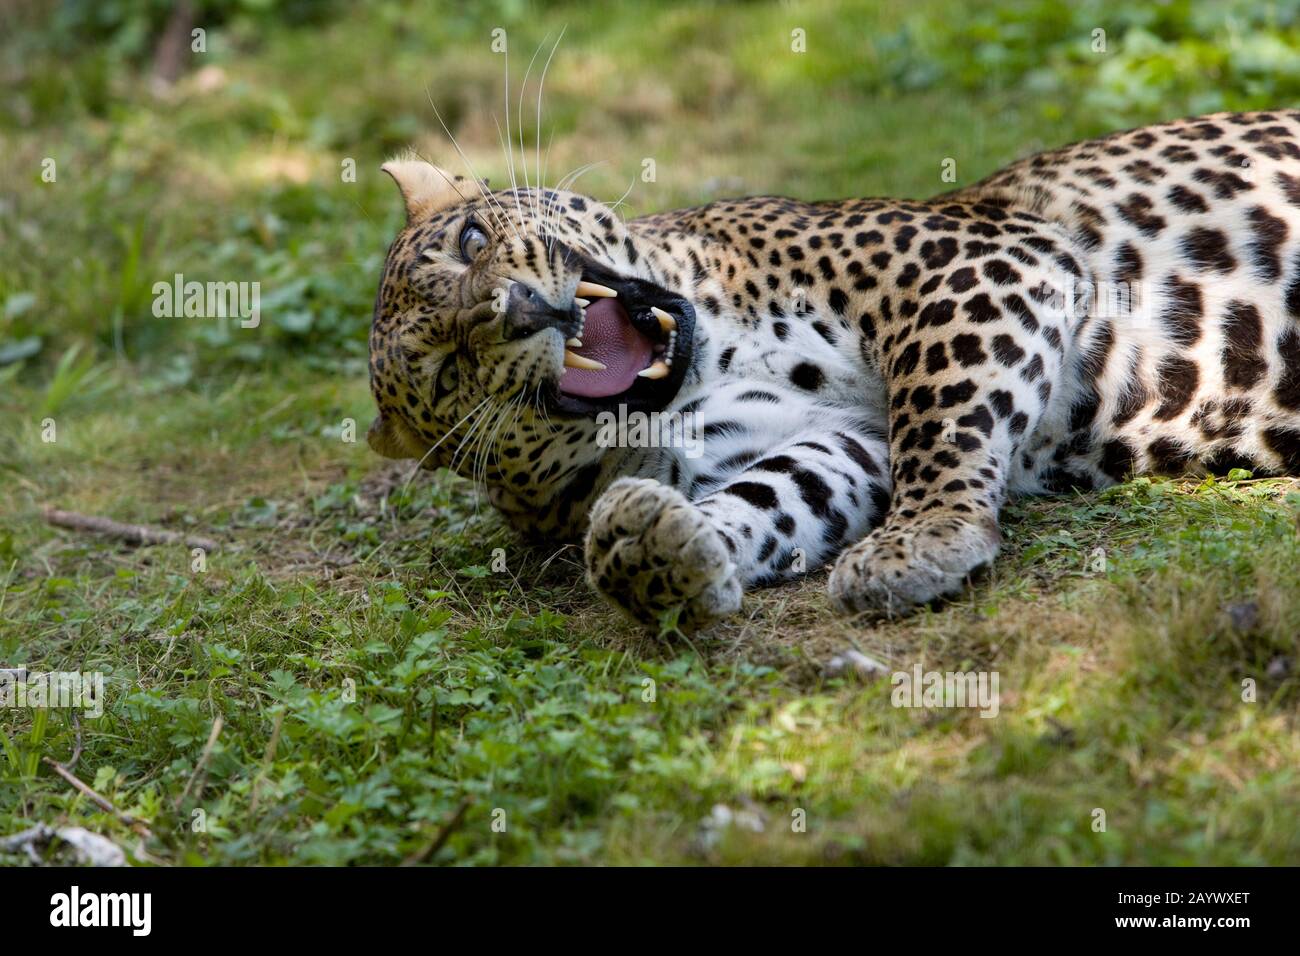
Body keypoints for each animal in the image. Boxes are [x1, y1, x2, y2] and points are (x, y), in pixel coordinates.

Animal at [367, 111, 1300, 630]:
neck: (714, 352)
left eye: (473, 241)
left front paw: (923, 539)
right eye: (450, 374)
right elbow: (782, 493)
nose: (520, 311)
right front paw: (655, 550)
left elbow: (939, 411)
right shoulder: (839, 441)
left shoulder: (975, 261)